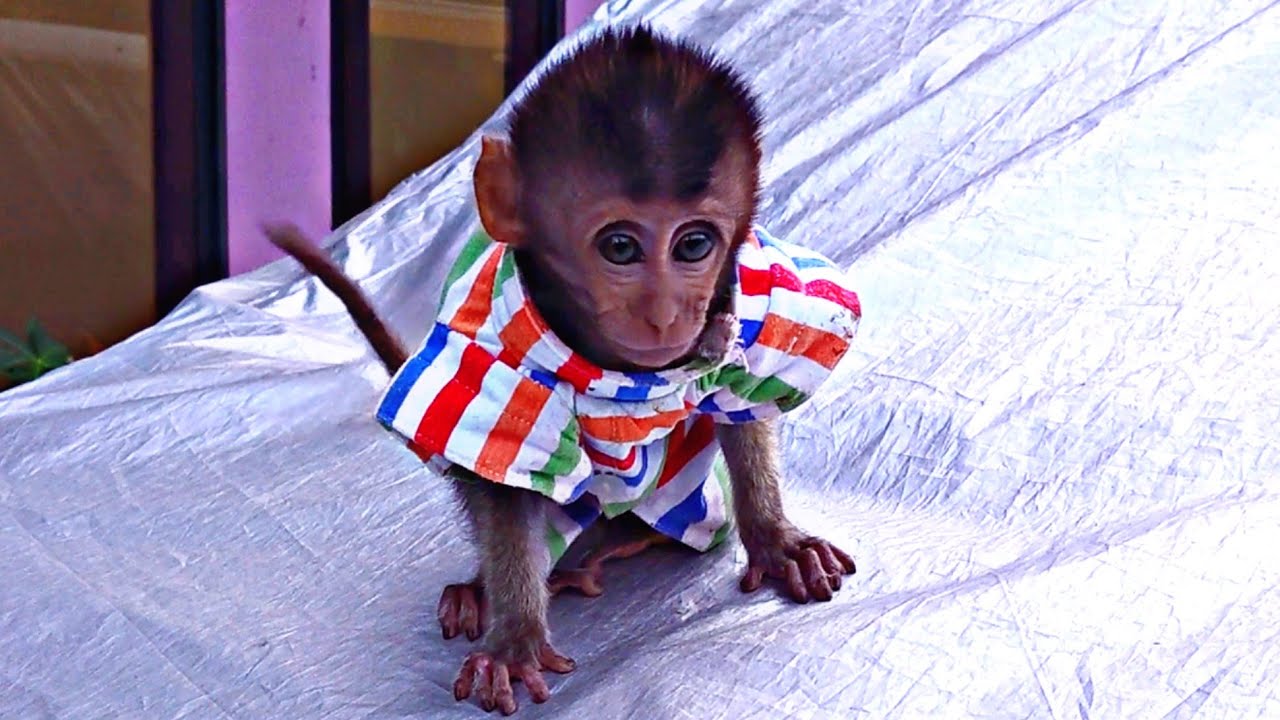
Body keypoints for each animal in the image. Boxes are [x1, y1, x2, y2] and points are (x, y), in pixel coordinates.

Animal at [267, 24, 861, 716]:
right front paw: (516, 635)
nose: (666, 314)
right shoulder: (493, 356)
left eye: (694, 244)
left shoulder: (760, 300)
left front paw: (774, 537)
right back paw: (489, 586)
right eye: (620, 248)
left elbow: (746, 399)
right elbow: (503, 483)